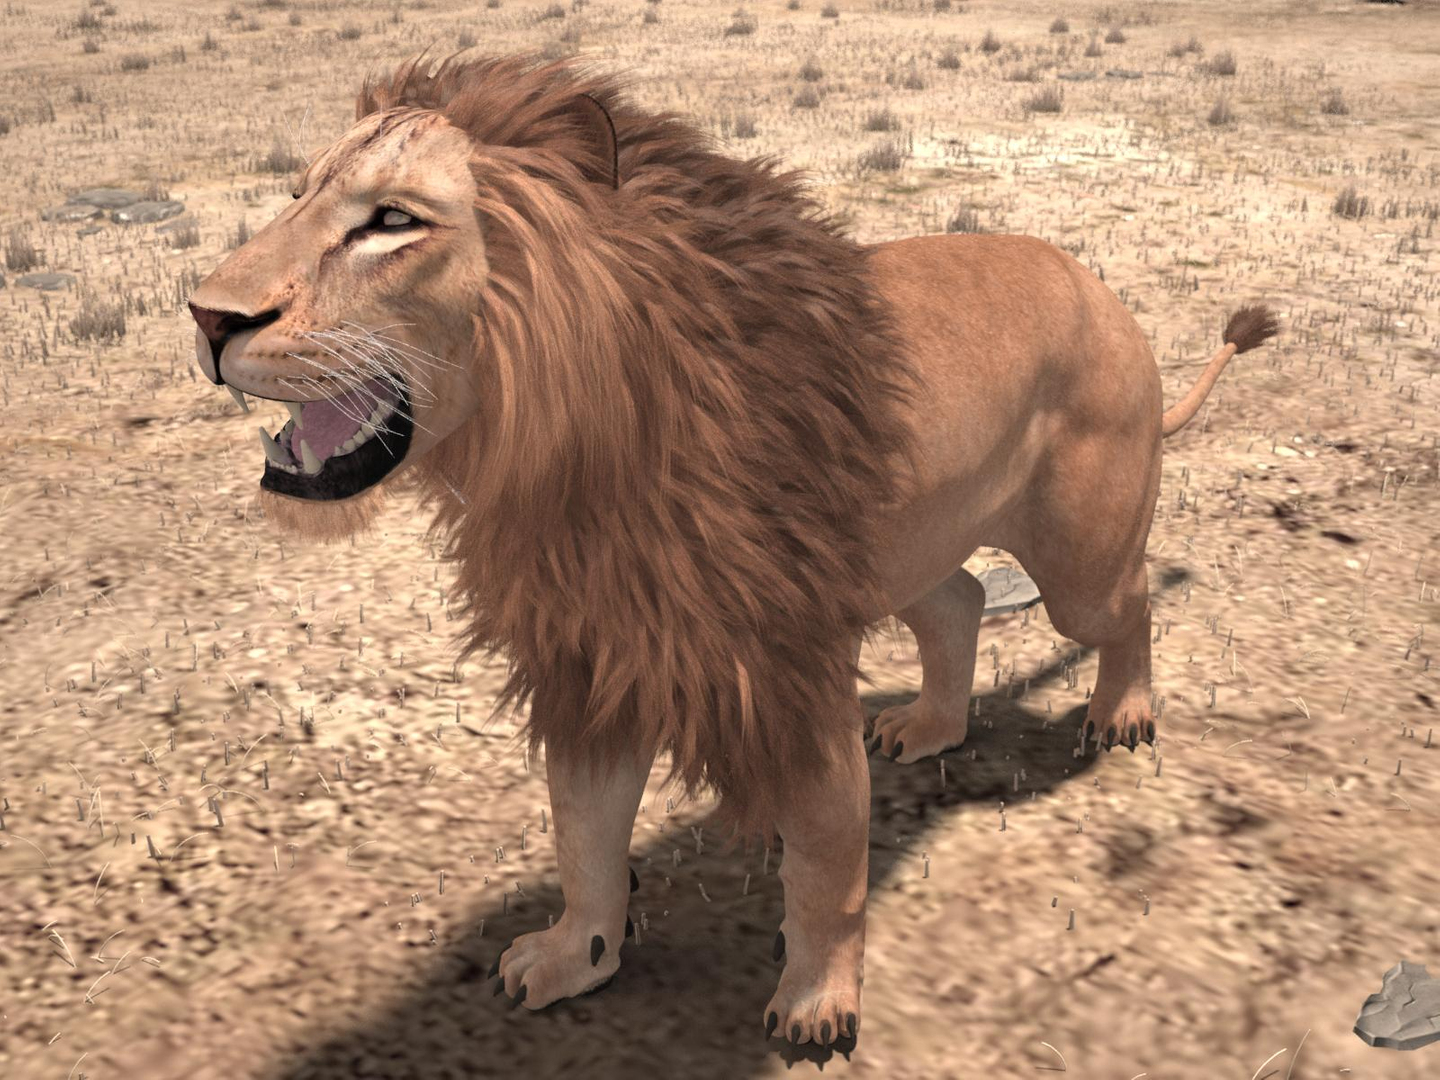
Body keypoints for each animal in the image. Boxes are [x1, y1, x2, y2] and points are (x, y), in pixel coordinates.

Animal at [186, 51, 1278, 1046]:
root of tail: (1101, 288)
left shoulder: (784, 671)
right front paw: (576, 954)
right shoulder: (592, 662)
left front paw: (816, 1006)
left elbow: (827, 856)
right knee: (960, 601)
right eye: (297, 197)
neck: (565, 457)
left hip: (1077, 554)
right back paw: (929, 726)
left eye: (391, 222)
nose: (206, 317)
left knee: (1129, 602)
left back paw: (1123, 714)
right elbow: (582, 832)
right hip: (912, 540)